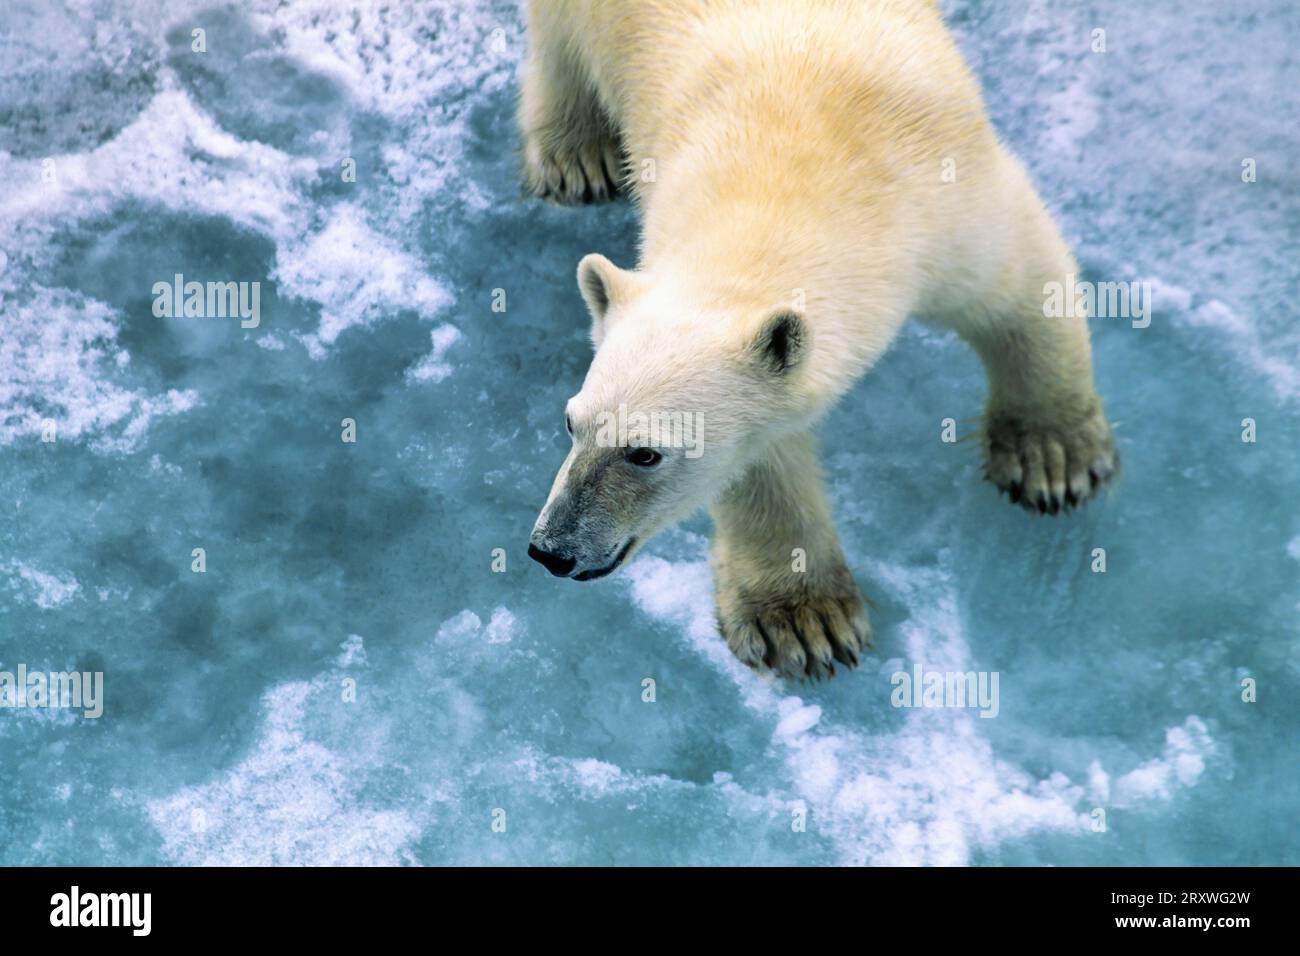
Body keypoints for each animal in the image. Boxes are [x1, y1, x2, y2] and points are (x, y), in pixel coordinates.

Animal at [522, 0, 1117, 679]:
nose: (551, 549)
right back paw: (577, 156)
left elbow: (1021, 283)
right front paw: (802, 620)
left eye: (645, 452)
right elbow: (763, 461)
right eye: (572, 423)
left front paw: (1052, 457)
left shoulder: (948, 199)